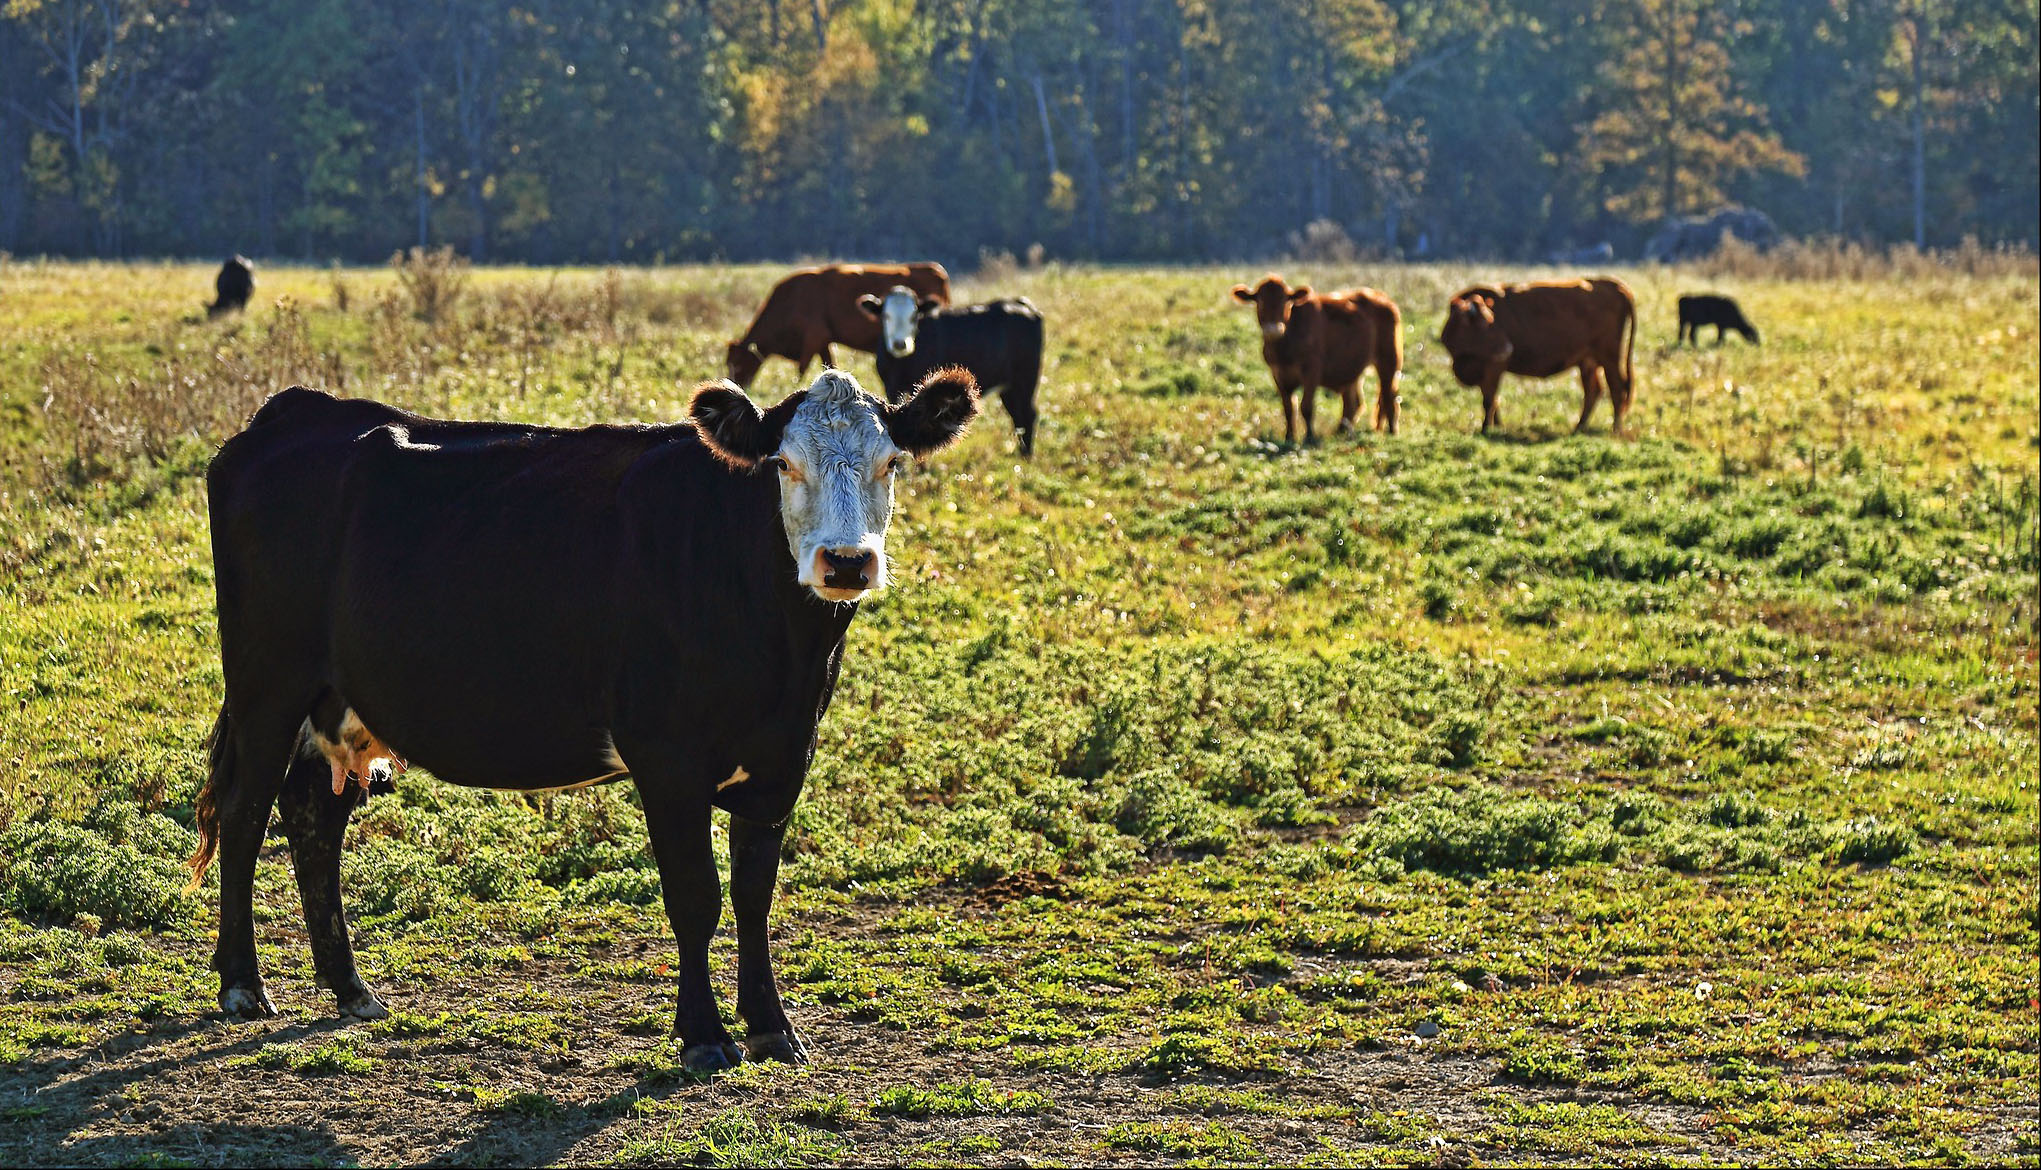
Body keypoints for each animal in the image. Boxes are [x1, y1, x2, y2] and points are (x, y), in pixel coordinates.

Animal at [188, 367, 979, 1073]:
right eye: (782, 463)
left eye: (891, 462)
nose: (845, 562)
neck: (781, 651)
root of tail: (296, 411)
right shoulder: (667, 756)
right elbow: (696, 896)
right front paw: (703, 1036)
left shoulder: (784, 755)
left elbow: (754, 896)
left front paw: (771, 1028)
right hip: (267, 684)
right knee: (246, 811)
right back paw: (242, 984)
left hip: (337, 702)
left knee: (313, 821)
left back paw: (350, 988)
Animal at [725, 263, 951, 388]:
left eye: (736, 363)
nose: (734, 384)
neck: (791, 300)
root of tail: (935, 269)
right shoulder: (824, 342)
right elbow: (829, 366)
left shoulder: (813, 338)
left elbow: (801, 370)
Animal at [858, 287, 1044, 456]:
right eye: (885, 316)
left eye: (913, 316)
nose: (899, 344)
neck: (901, 362)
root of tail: (1020, 304)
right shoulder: (891, 387)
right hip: (1009, 386)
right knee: (1017, 415)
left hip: (1026, 378)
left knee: (1028, 414)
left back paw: (1026, 456)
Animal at [1229, 274, 1403, 444]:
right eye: (1260, 300)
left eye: (1286, 300)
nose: (1273, 329)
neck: (1284, 348)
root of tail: (1380, 297)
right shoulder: (1278, 374)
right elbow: (1288, 408)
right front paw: (1289, 437)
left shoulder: (1311, 371)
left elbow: (1306, 406)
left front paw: (1309, 437)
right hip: (1353, 368)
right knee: (1354, 402)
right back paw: (1342, 431)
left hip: (1389, 362)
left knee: (1389, 396)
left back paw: (1392, 431)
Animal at [1439, 277, 1637, 437]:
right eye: (1483, 323)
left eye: (1490, 321)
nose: (1507, 348)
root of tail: (1612, 285)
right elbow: (1493, 400)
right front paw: (1498, 426)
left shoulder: (1494, 367)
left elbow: (1489, 401)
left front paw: (1486, 429)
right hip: (1588, 360)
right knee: (1593, 391)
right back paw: (1579, 427)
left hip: (1609, 357)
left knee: (1616, 388)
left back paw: (1615, 429)